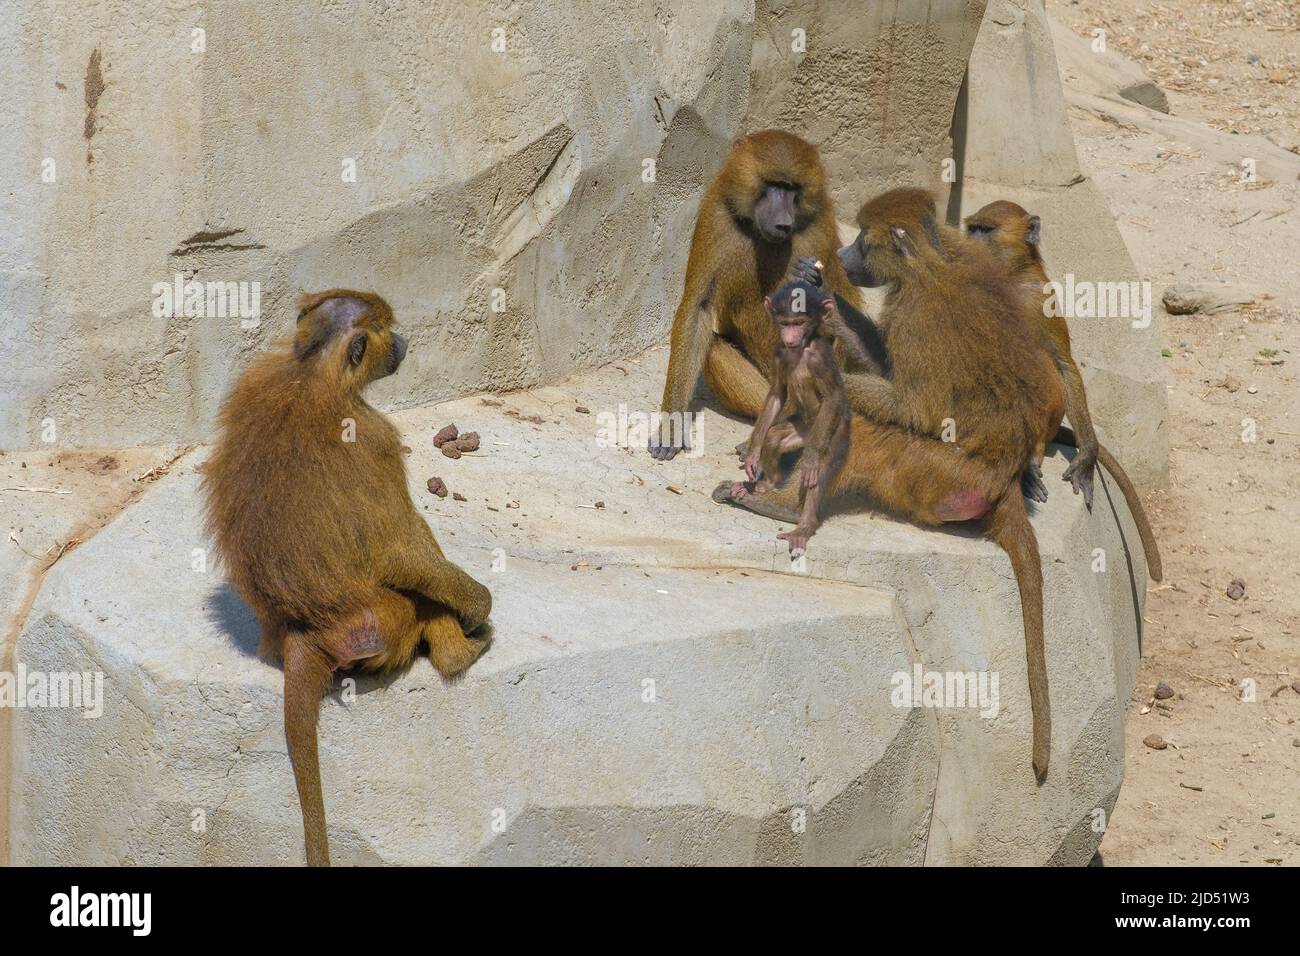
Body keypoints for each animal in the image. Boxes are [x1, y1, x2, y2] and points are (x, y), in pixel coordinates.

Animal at [202, 290, 493, 866]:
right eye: (384, 330)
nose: (403, 342)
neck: (312, 371)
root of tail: (301, 630)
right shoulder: (375, 434)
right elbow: (400, 550)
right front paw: (479, 605)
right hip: (379, 625)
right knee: (415, 587)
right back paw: (460, 651)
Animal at [650, 129, 883, 459]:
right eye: (773, 185)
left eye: (792, 189)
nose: (783, 223)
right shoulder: (715, 215)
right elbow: (698, 308)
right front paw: (672, 426)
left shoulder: (821, 227)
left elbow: (842, 303)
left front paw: (812, 282)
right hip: (766, 391)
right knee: (714, 349)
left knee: (832, 338)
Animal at [724, 279, 877, 556]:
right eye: (785, 323)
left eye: (800, 323)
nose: (791, 336)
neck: (800, 350)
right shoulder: (778, 352)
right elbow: (776, 394)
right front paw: (752, 453)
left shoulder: (821, 356)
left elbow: (832, 396)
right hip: (803, 429)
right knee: (774, 437)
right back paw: (767, 484)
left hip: (830, 433)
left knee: (817, 470)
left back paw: (805, 525)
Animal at [963, 200, 1162, 580]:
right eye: (972, 229)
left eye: (986, 231)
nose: (967, 246)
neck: (1009, 277)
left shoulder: (1041, 298)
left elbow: (1064, 366)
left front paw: (1087, 457)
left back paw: (1029, 462)